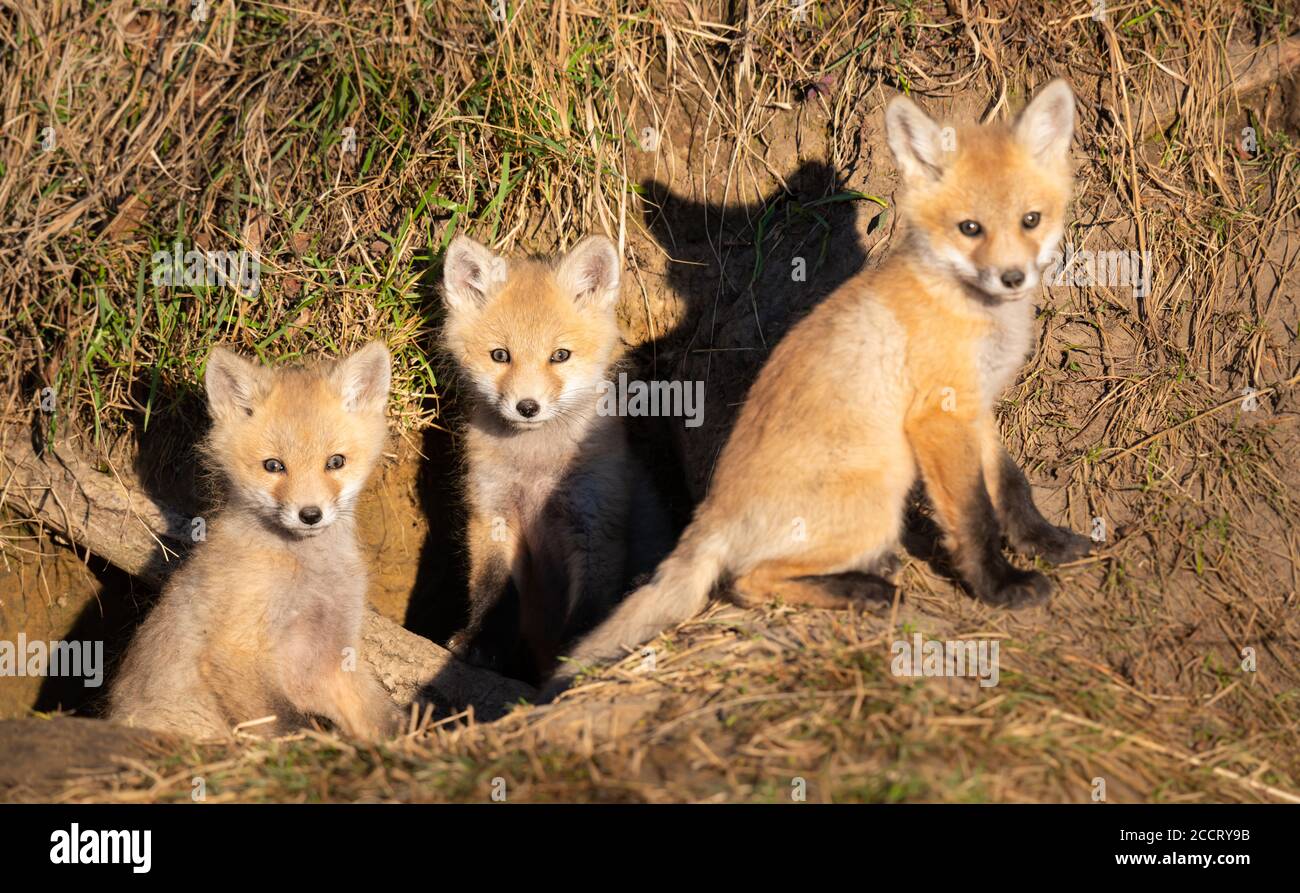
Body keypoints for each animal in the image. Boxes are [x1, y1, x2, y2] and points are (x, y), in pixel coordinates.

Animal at [108, 341, 402, 741]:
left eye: (336, 462)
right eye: (274, 466)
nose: (310, 514)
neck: (309, 575)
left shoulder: (334, 656)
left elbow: (379, 718)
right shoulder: (236, 647)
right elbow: (287, 724)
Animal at [440, 233, 672, 681]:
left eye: (560, 355)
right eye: (500, 355)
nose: (527, 407)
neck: (536, 472)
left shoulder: (596, 523)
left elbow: (590, 606)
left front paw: (576, 653)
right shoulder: (491, 514)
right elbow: (492, 589)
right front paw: (482, 642)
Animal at [545, 79, 1091, 694]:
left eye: (1030, 219)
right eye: (969, 228)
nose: (1012, 278)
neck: (972, 311)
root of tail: (712, 511)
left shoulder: (977, 408)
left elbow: (1011, 488)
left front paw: (1047, 544)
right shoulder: (940, 416)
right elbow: (974, 516)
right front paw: (999, 587)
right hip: (881, 495)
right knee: (743, 581)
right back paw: (864, 589)